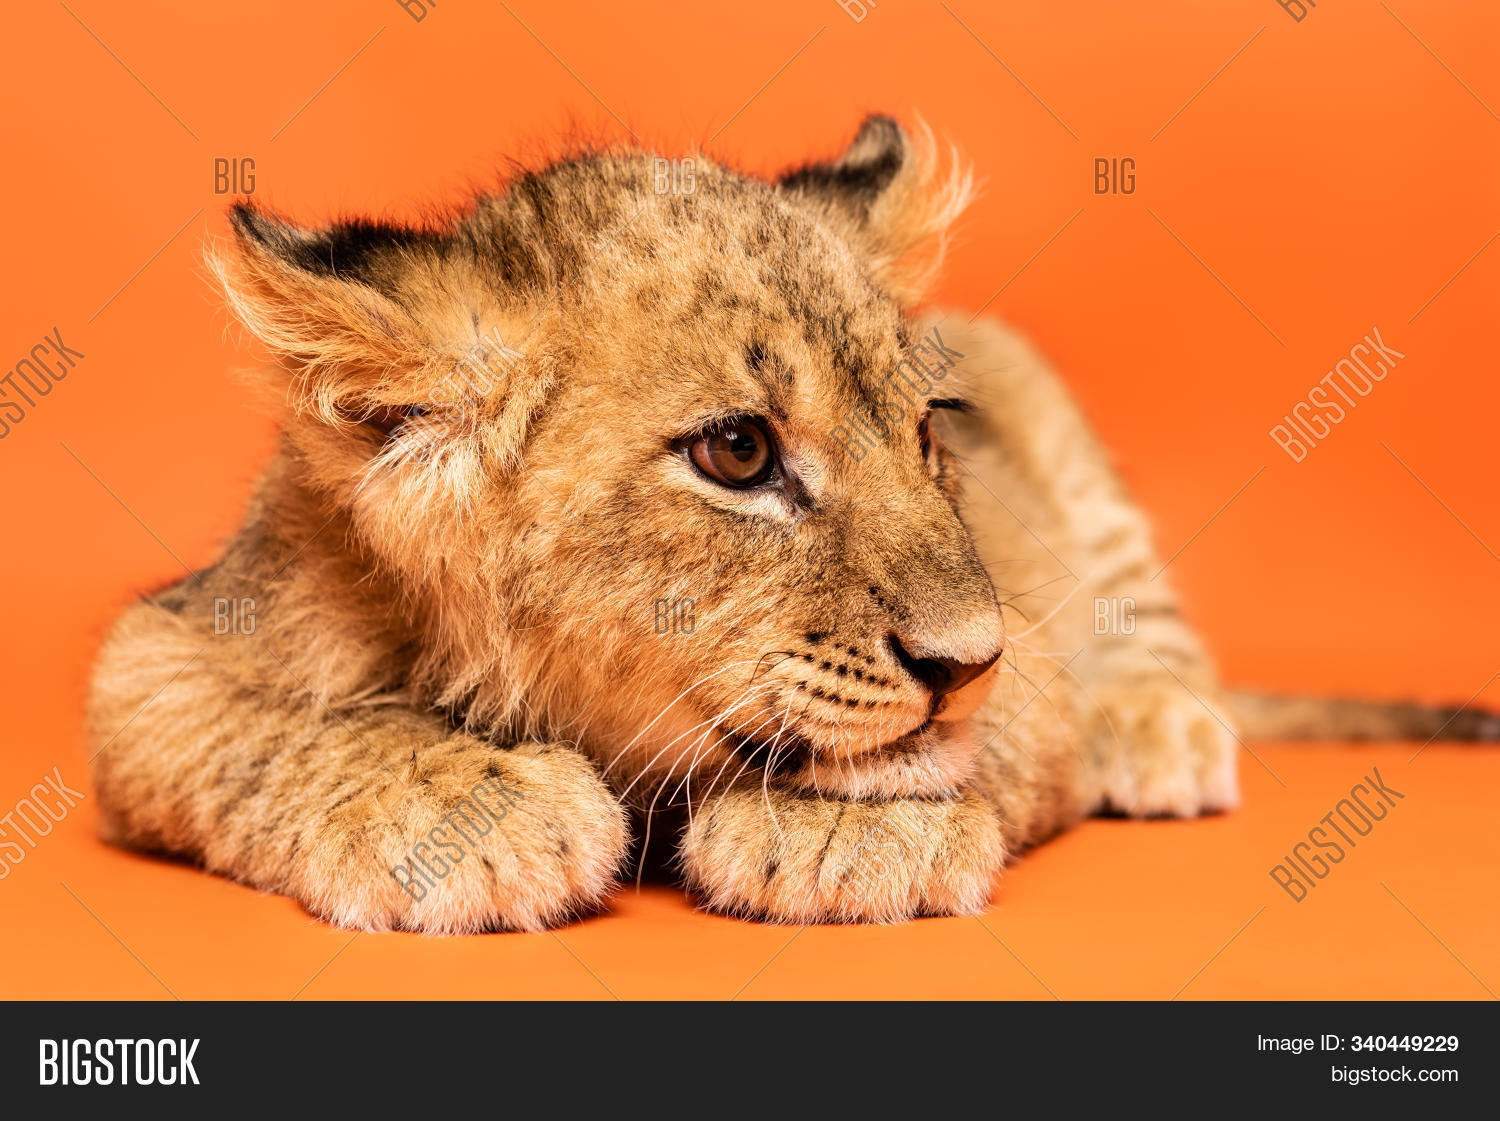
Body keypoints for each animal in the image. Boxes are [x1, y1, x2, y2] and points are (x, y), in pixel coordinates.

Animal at [84, 116, 1496, 932]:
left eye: (928, 433)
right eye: (738, 452)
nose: (967, 660)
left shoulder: (1032, 646)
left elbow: (966, 744)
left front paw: (850, 829)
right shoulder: (159, 650)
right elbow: (272, 730)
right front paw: (469, 803)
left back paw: (1159, 729)